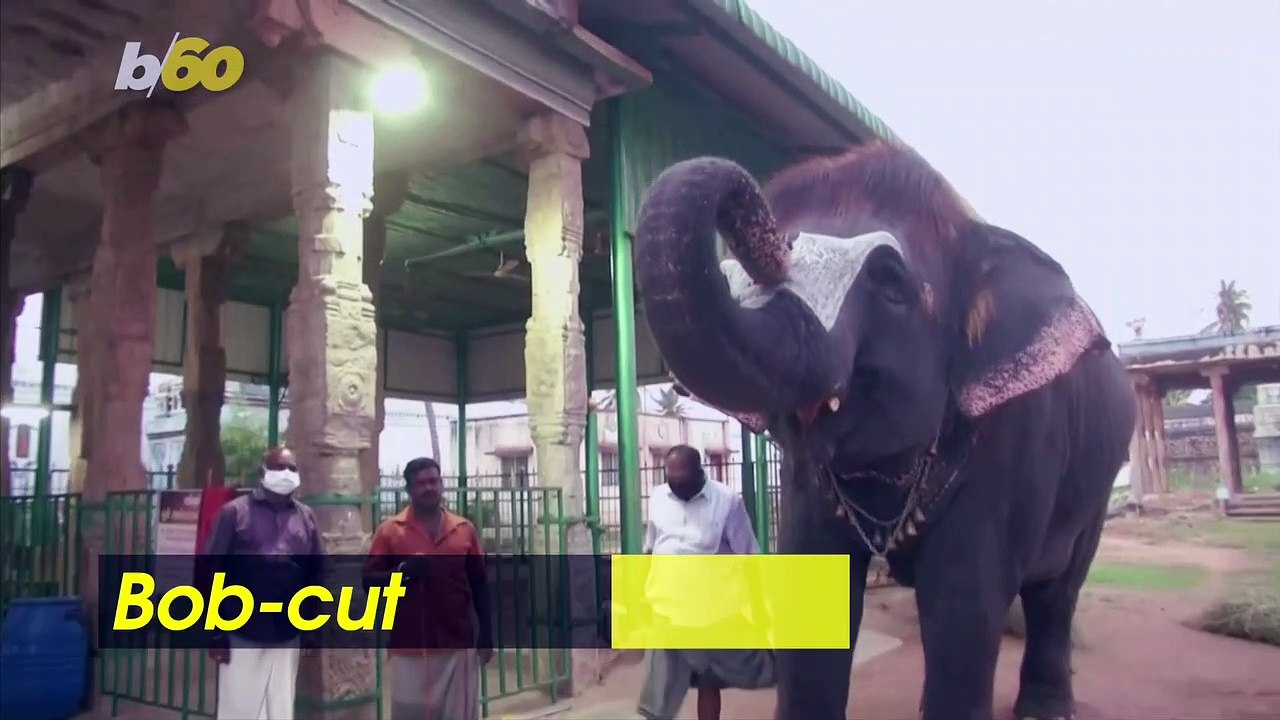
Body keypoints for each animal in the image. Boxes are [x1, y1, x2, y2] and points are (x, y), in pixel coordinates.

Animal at [632, 141, 1136, 720]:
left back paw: (1044, 709)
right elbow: (814, 580)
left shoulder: (1019, 433)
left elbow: (963, 597)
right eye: (735, 278)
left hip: (1097, 478)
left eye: (891, 283)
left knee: (1058, 587)